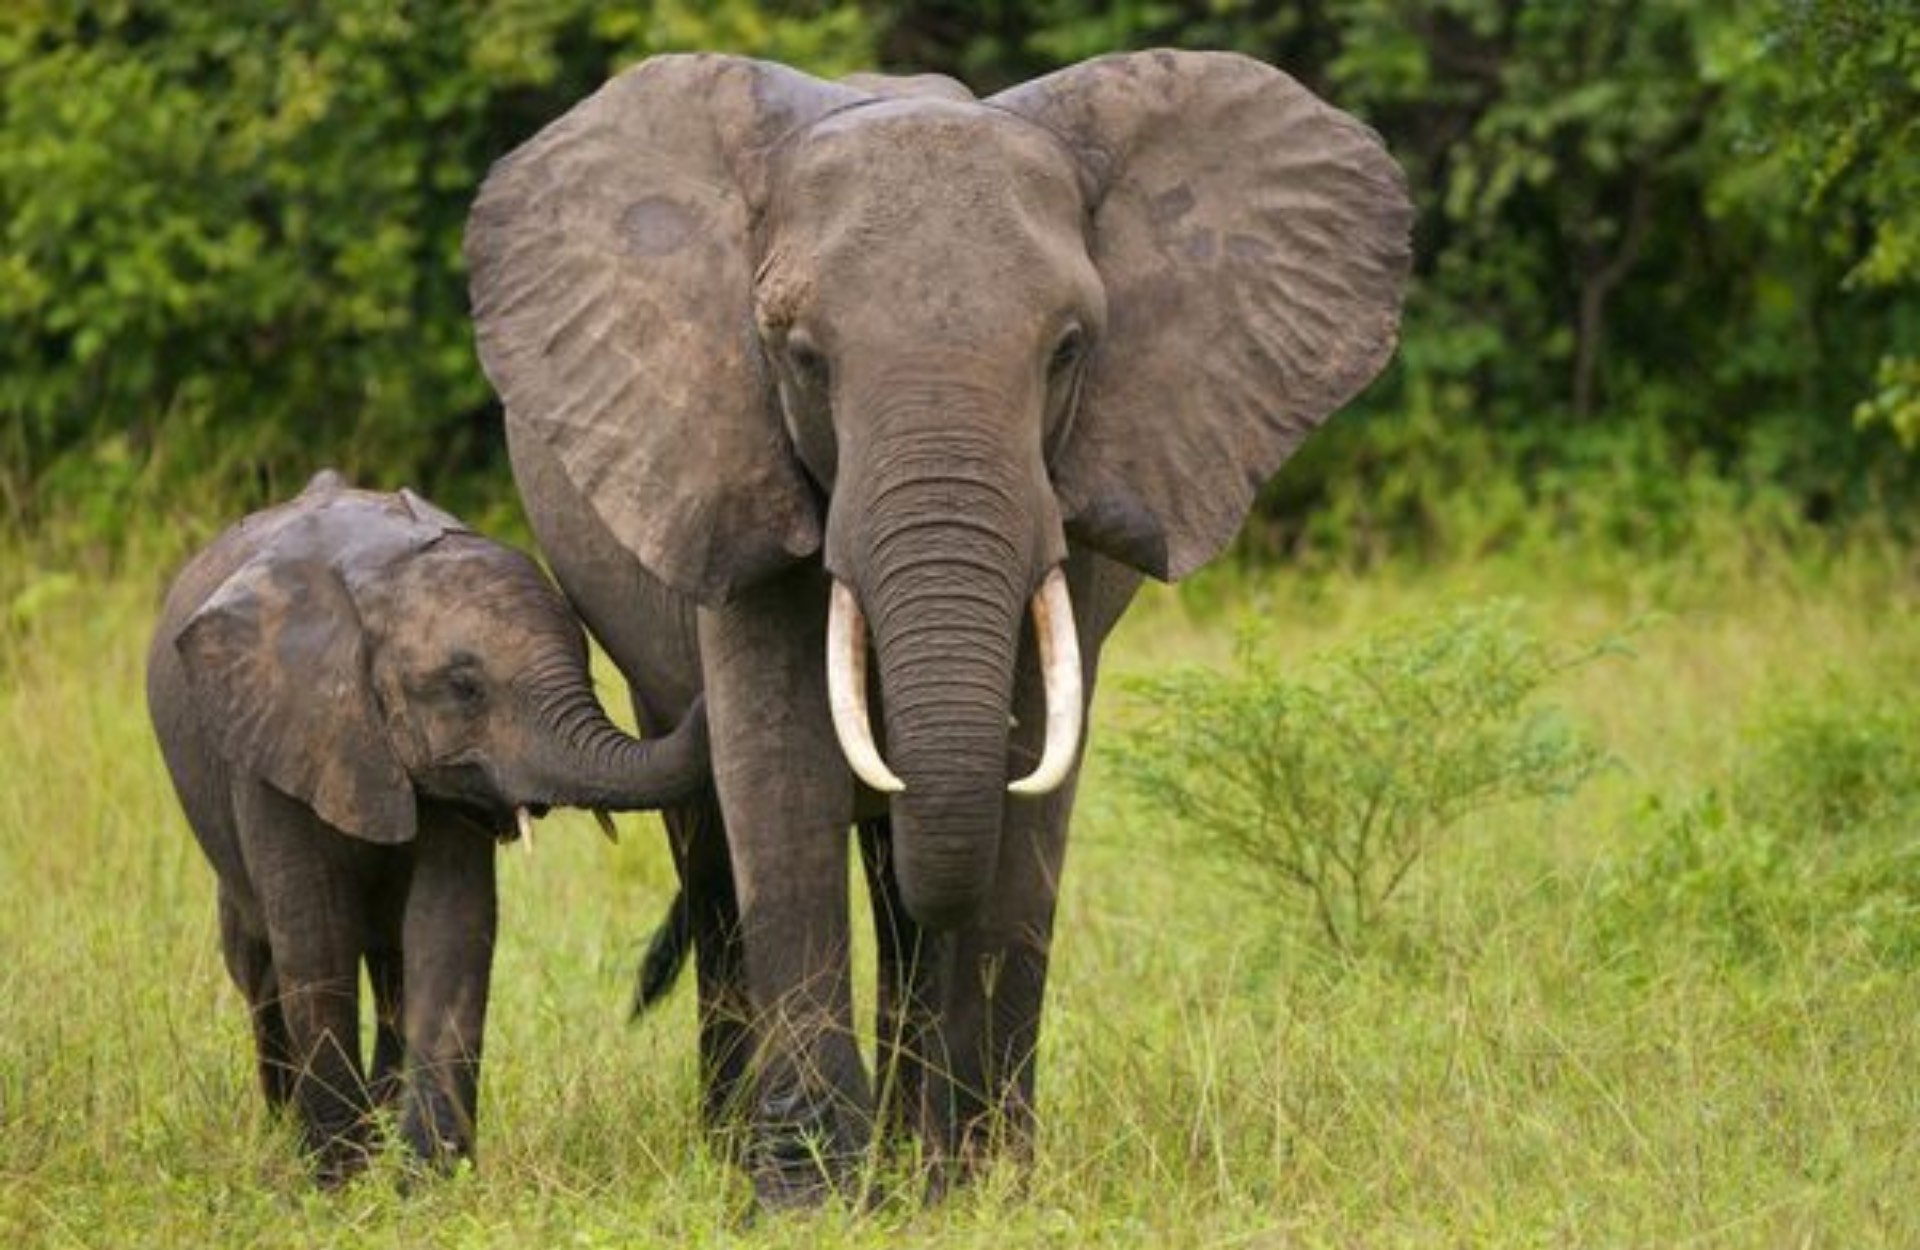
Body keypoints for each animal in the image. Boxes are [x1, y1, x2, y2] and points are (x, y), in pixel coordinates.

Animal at [145, 470, 709, 1185]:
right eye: (465, 687)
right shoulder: (279, 734)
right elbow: (314, 933)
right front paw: (338, 1182)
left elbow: (450, 928)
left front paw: (427, 1183)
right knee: (257, 960)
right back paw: (285, 1130)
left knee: (392, 963)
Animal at [464, 49, 1411, 1206]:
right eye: (800, 355)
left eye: (1068, 350)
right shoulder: (727, 457)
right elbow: (780, 774)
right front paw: (805, 1199)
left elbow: (1028, 781)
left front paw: (986, 1186)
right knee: (718, 849)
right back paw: (745, 1148)